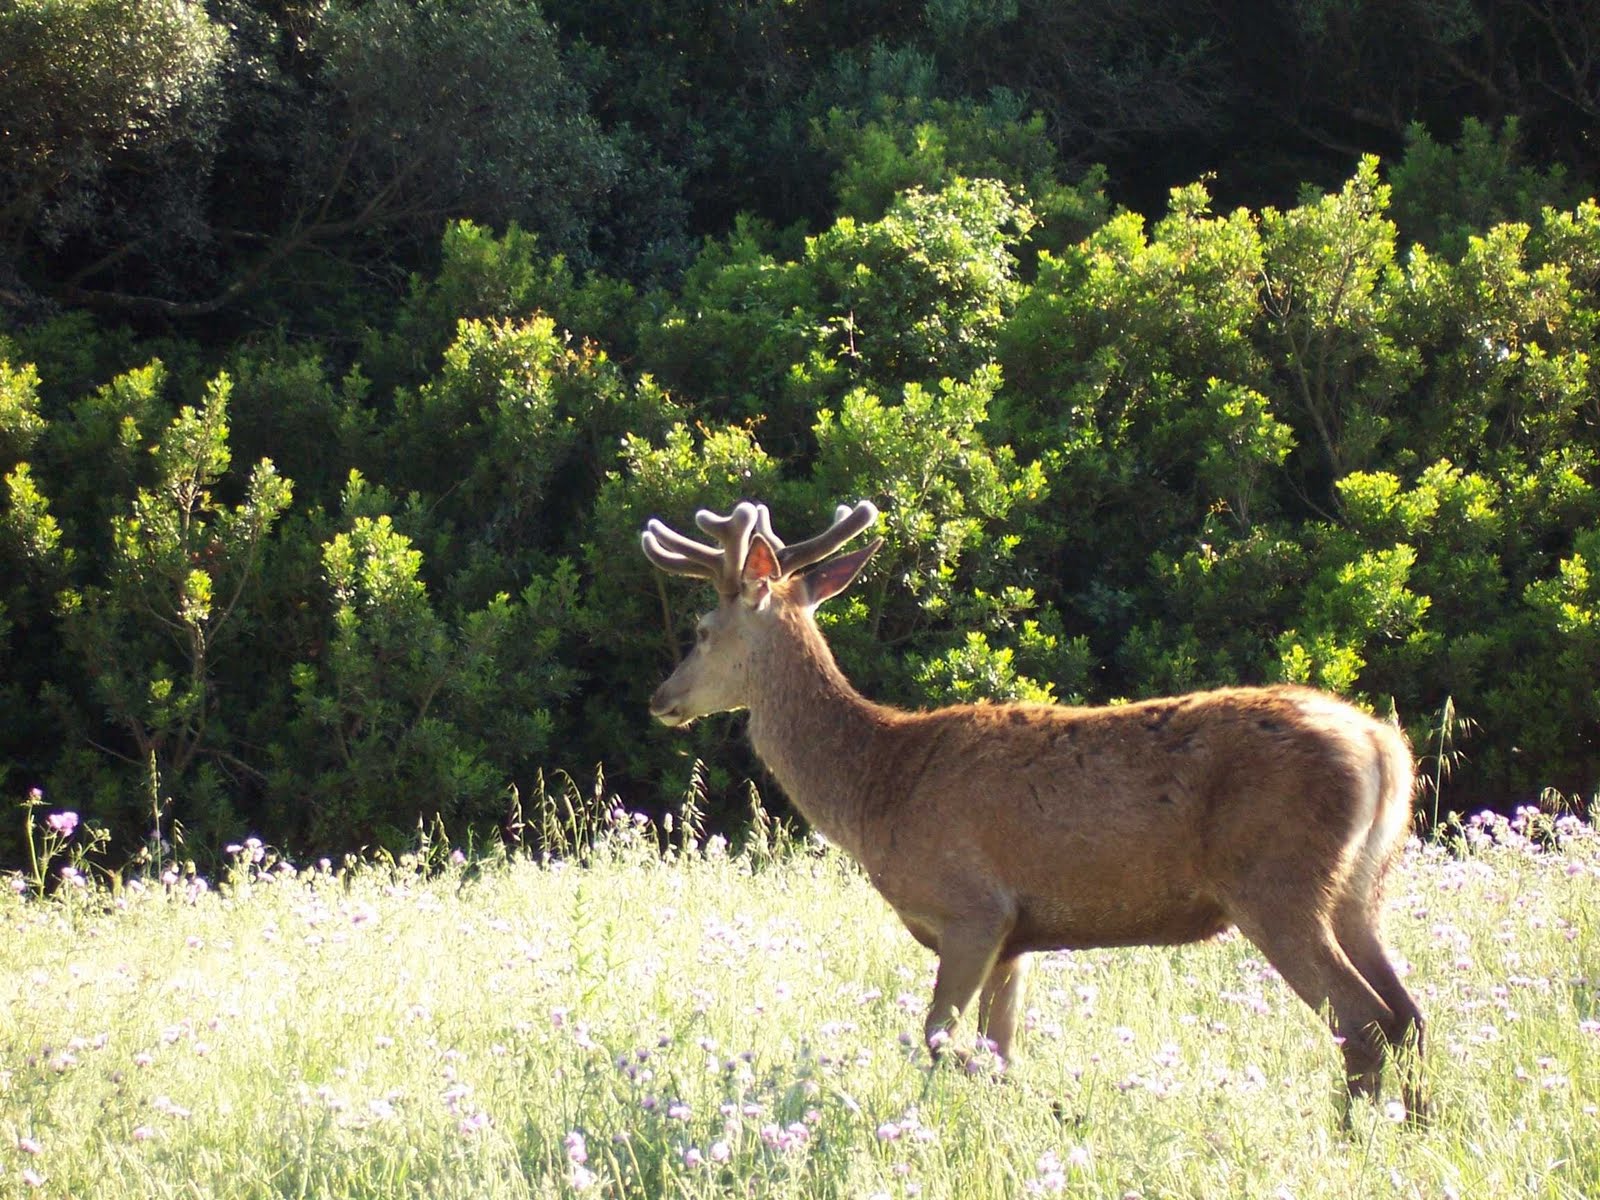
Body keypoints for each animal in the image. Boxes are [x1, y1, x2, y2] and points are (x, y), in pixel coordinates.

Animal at [640, 499, 1427, 1123]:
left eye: (704, 629)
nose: (661, 696)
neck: (877, 787)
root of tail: (1382, 748)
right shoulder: (1018, 935)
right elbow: (998, 1053)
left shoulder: (972, 908)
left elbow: (937, 1038)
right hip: (1357, 890)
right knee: (1409, 1016)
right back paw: (1415, 1130)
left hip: (1277, 882)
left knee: (1364, 1022)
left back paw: (1352, 1139)